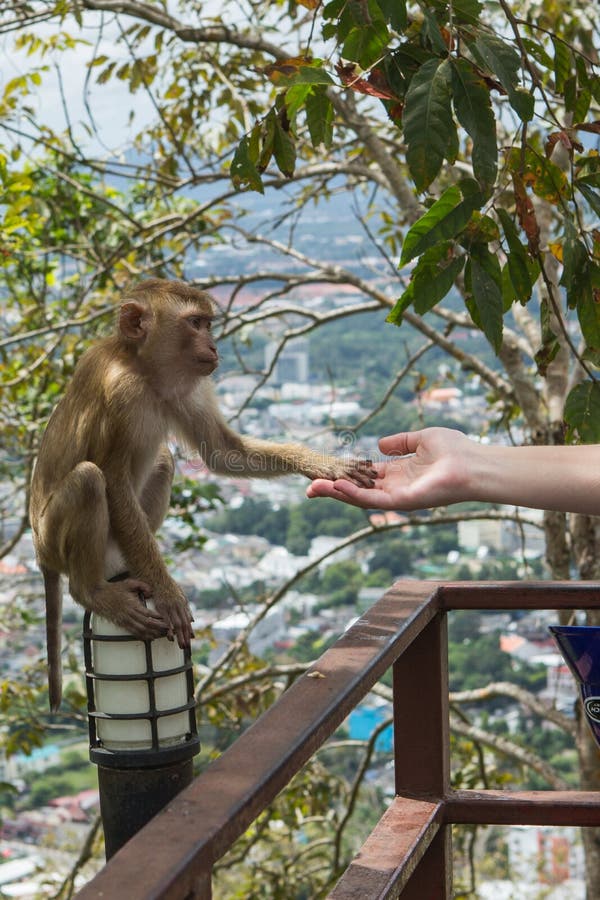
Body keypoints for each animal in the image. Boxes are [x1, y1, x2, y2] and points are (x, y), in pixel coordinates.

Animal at [29, 278, 376, 710]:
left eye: (207, 323)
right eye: (195, 323)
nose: (212, 345)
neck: (141, 369)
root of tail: (40, 553)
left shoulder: (185, 387)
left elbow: (224, 451)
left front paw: (327, 465)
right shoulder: (121, 393)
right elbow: (113, 480)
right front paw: (168, 593)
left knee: (162, 461)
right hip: (54, 536)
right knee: (90, 479)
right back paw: (93, 590)